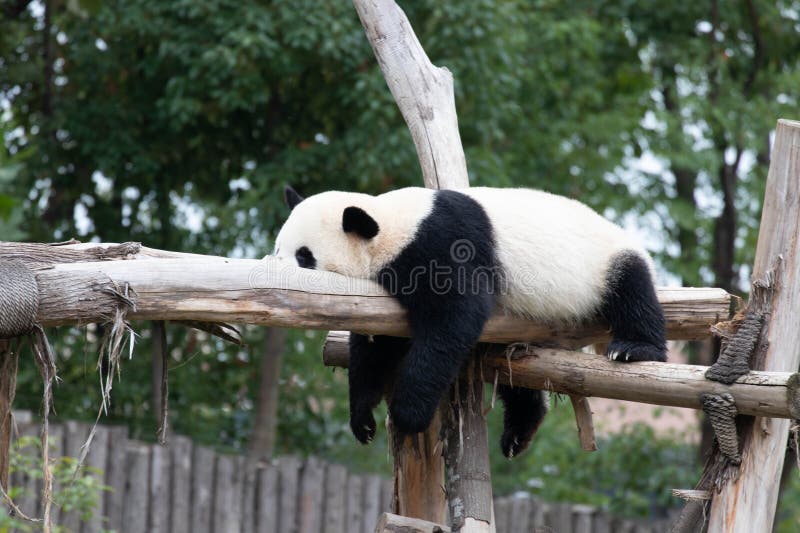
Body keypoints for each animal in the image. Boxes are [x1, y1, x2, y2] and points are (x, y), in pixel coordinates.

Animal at [274, 185, 666, 458]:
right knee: (516, 372)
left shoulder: (442, 245)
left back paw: (634, 349)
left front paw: (407, 413)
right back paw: (518, 433)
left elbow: (455, 318)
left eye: (304, 256)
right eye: (279, 249)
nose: (275, 268)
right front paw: (363, 420)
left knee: (633, 291)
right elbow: (376, 348)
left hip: (604, 262)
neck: (394, 226)